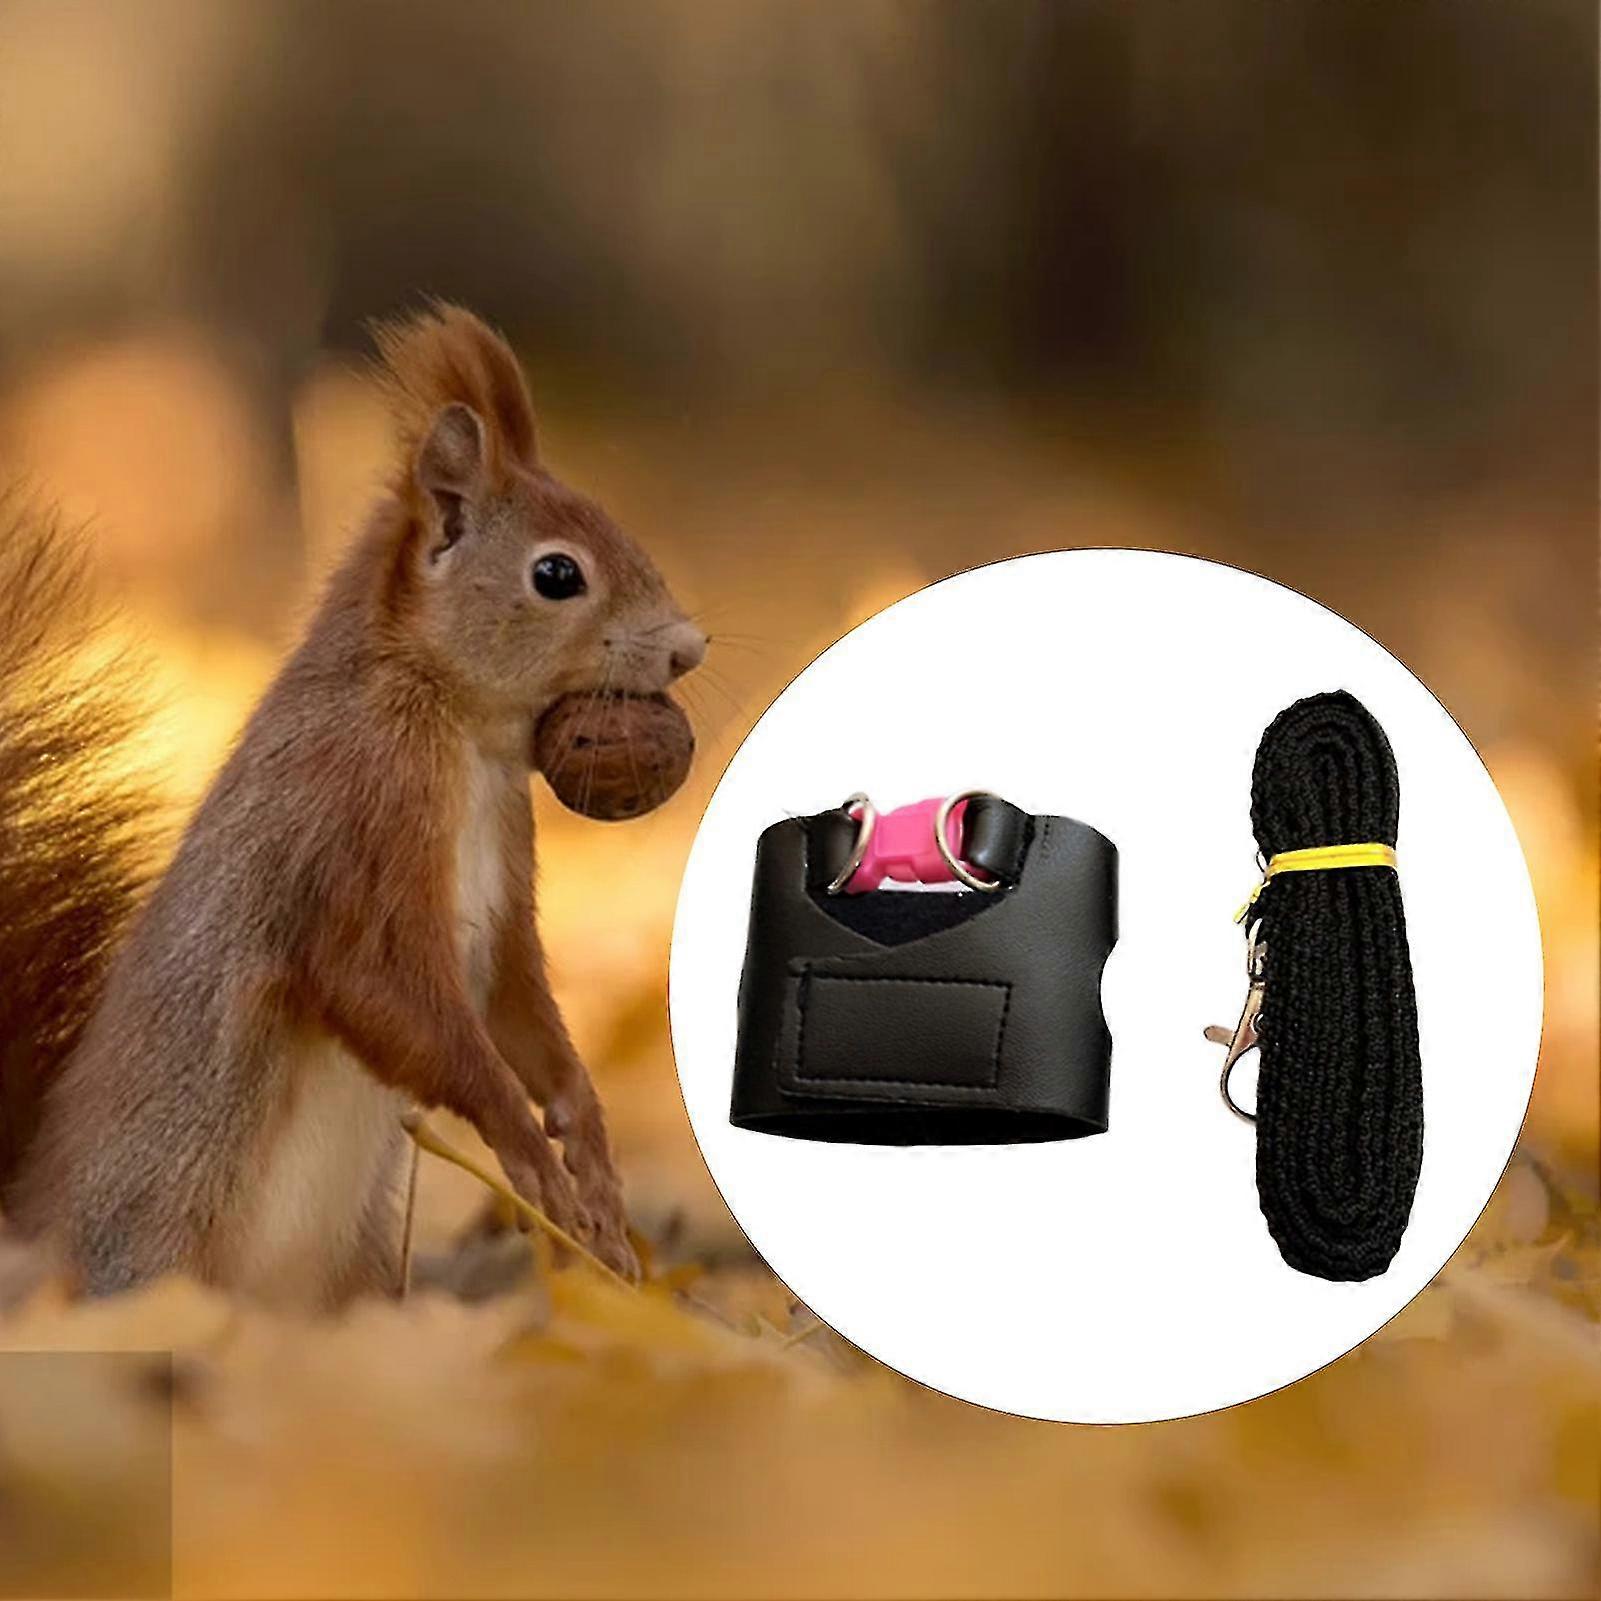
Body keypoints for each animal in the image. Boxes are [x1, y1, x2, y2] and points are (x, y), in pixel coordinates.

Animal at [0, 305, 705, 1309]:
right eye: (557, 575)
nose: (687, 647)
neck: (459, 735)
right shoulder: (352, 817)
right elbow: (386, 994)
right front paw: (526, 1149)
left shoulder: (504, 890)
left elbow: (521, 1005)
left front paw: (591, 1155)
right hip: (155, 1251)